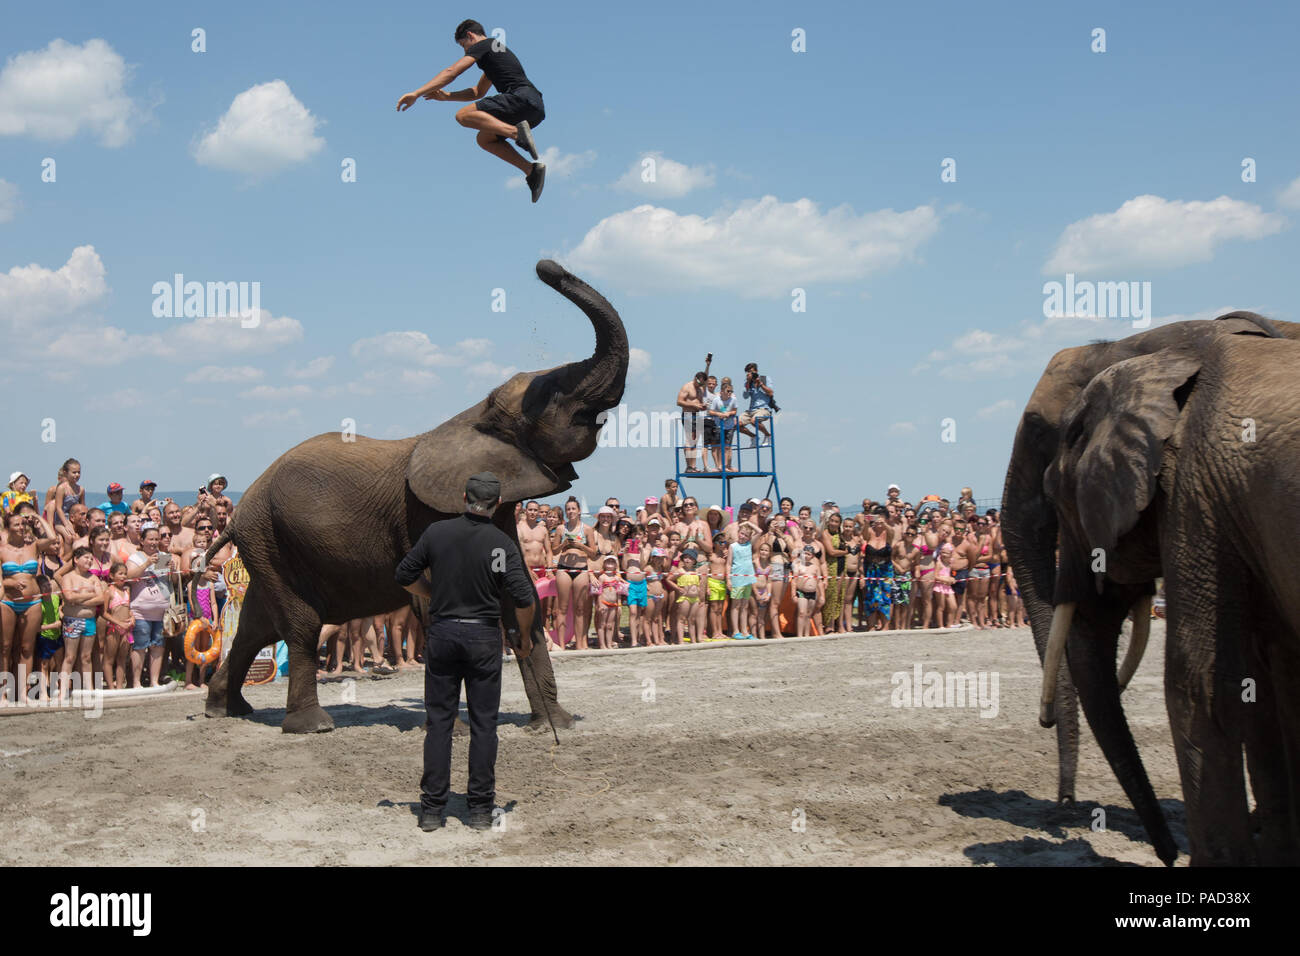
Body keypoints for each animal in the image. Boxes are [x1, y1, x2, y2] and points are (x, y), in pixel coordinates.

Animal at [203, 259, 629, 734]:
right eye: (550, 398)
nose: (546, 266)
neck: (472, 416)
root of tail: (240, 510)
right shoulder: (422, 514)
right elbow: (431, 604)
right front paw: (455, 731)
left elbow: (520, 596)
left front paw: (555, 725)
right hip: (268, 536)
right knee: (300, 624)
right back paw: (311, 725)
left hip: (267, 542)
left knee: (257, 625)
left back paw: (226, 709)